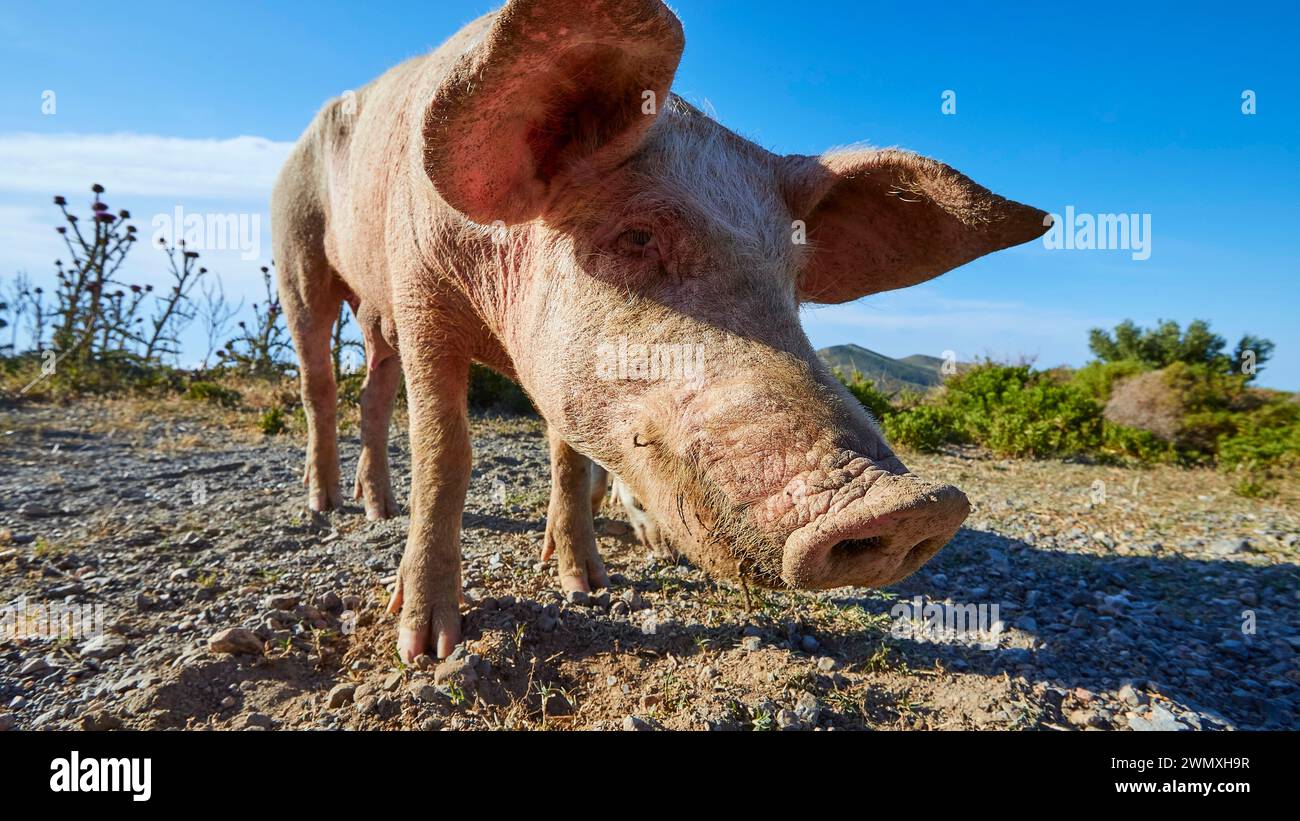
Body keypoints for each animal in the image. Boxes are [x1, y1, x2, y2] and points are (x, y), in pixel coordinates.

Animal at [271, 0, 1050, 662]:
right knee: (319, 382)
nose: (913, 506)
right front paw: (426, 648)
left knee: (372, 389)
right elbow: (445, 451)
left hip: (373, 317)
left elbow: (568, 455)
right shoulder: (420, 289)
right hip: (298, 254)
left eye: (792, 274)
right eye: (638, 235)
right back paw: (325, 505)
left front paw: (585, 582)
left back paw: (377, 506)